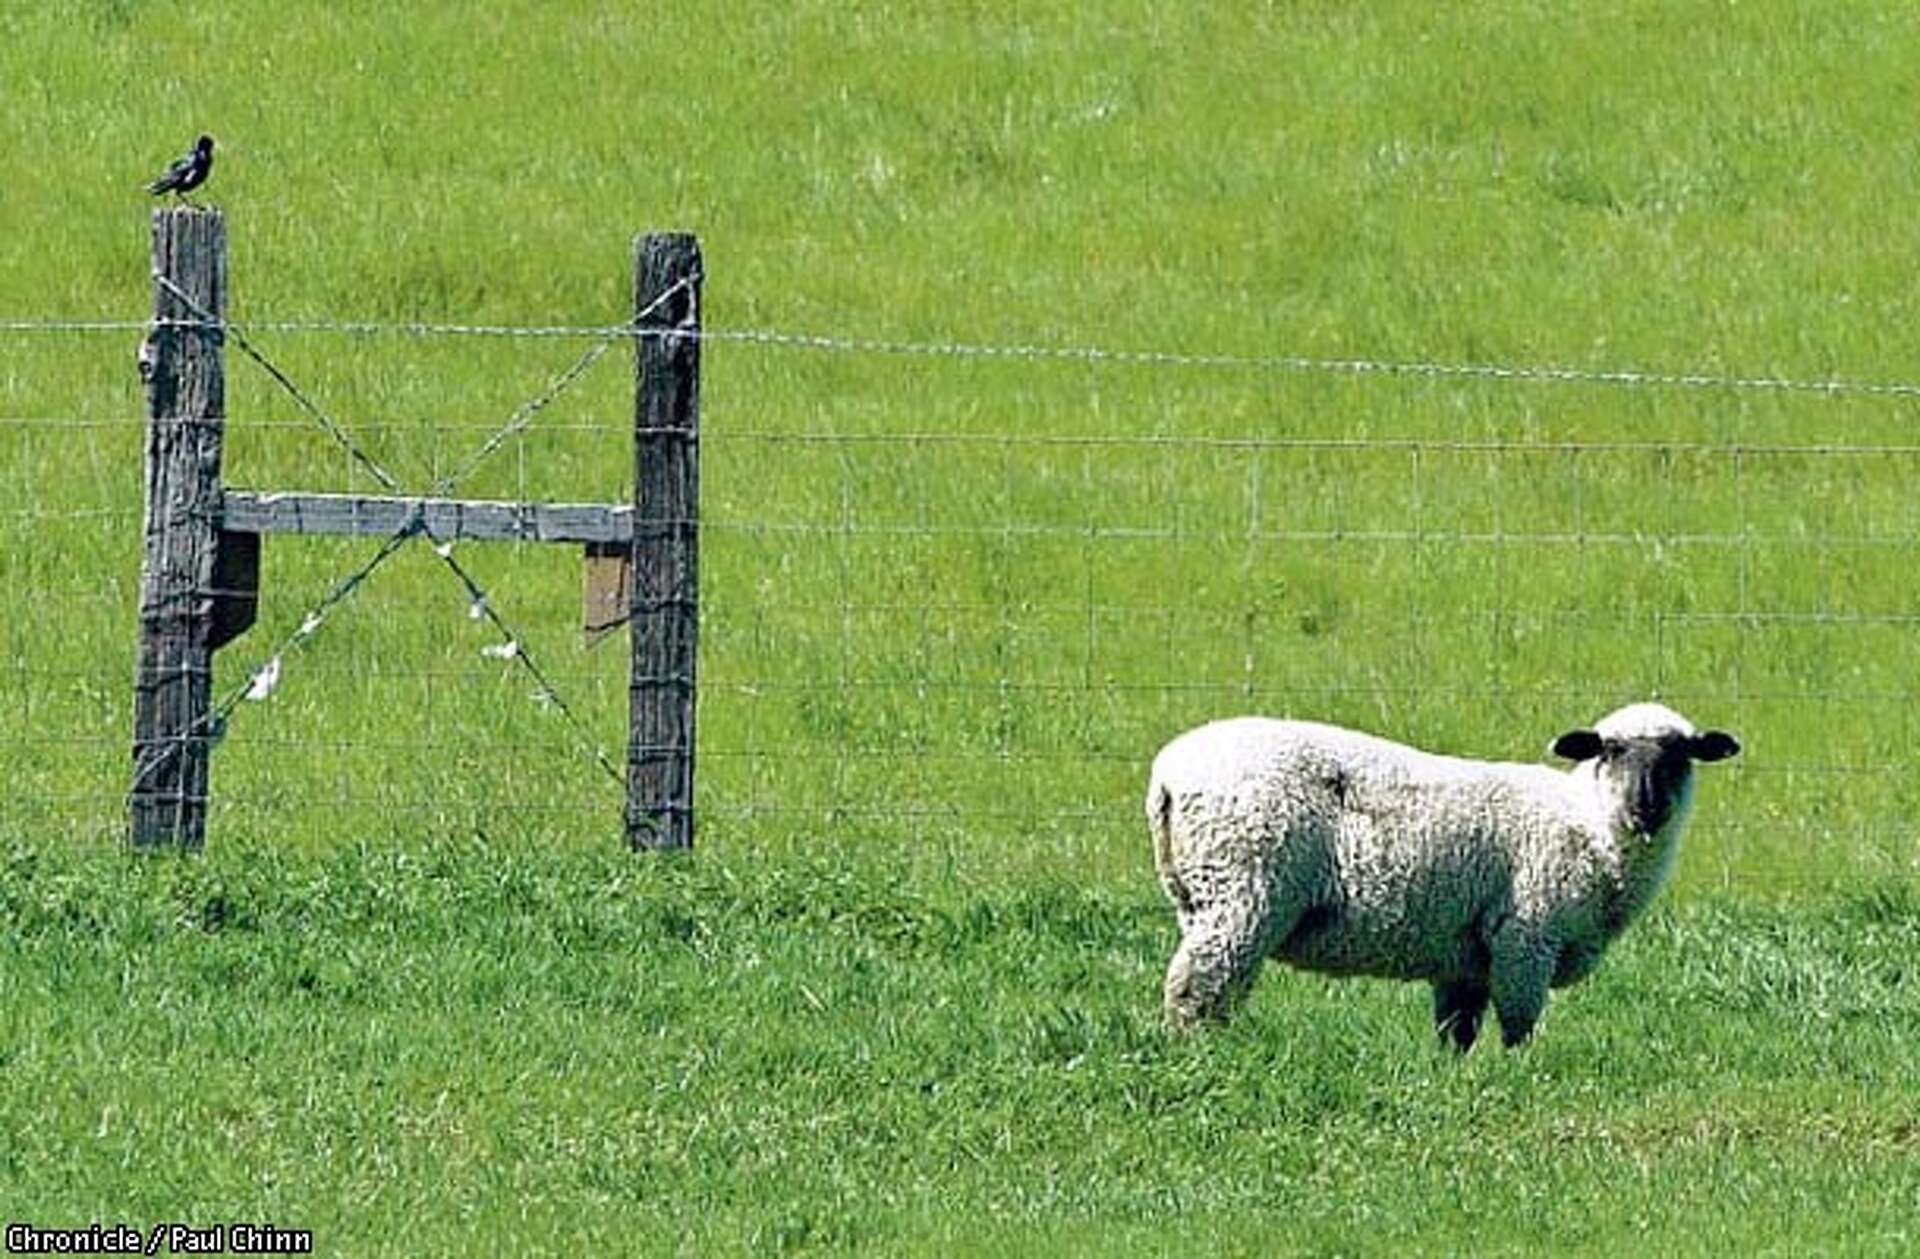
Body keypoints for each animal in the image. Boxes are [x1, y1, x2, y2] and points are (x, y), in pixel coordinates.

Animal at [1146, 702, 1739, 1048]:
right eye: (1610, 751)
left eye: (1681, 754)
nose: (1648, 807)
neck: (1587, 823)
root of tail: (1167, 776)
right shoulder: (1526, 939)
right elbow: (1519, 1028)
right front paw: (1518, 1078)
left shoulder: (1466, 959)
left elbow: (1458, 1034)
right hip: (1245, 890)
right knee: (1195, 988)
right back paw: (1199, 1055)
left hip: (1203, 896)